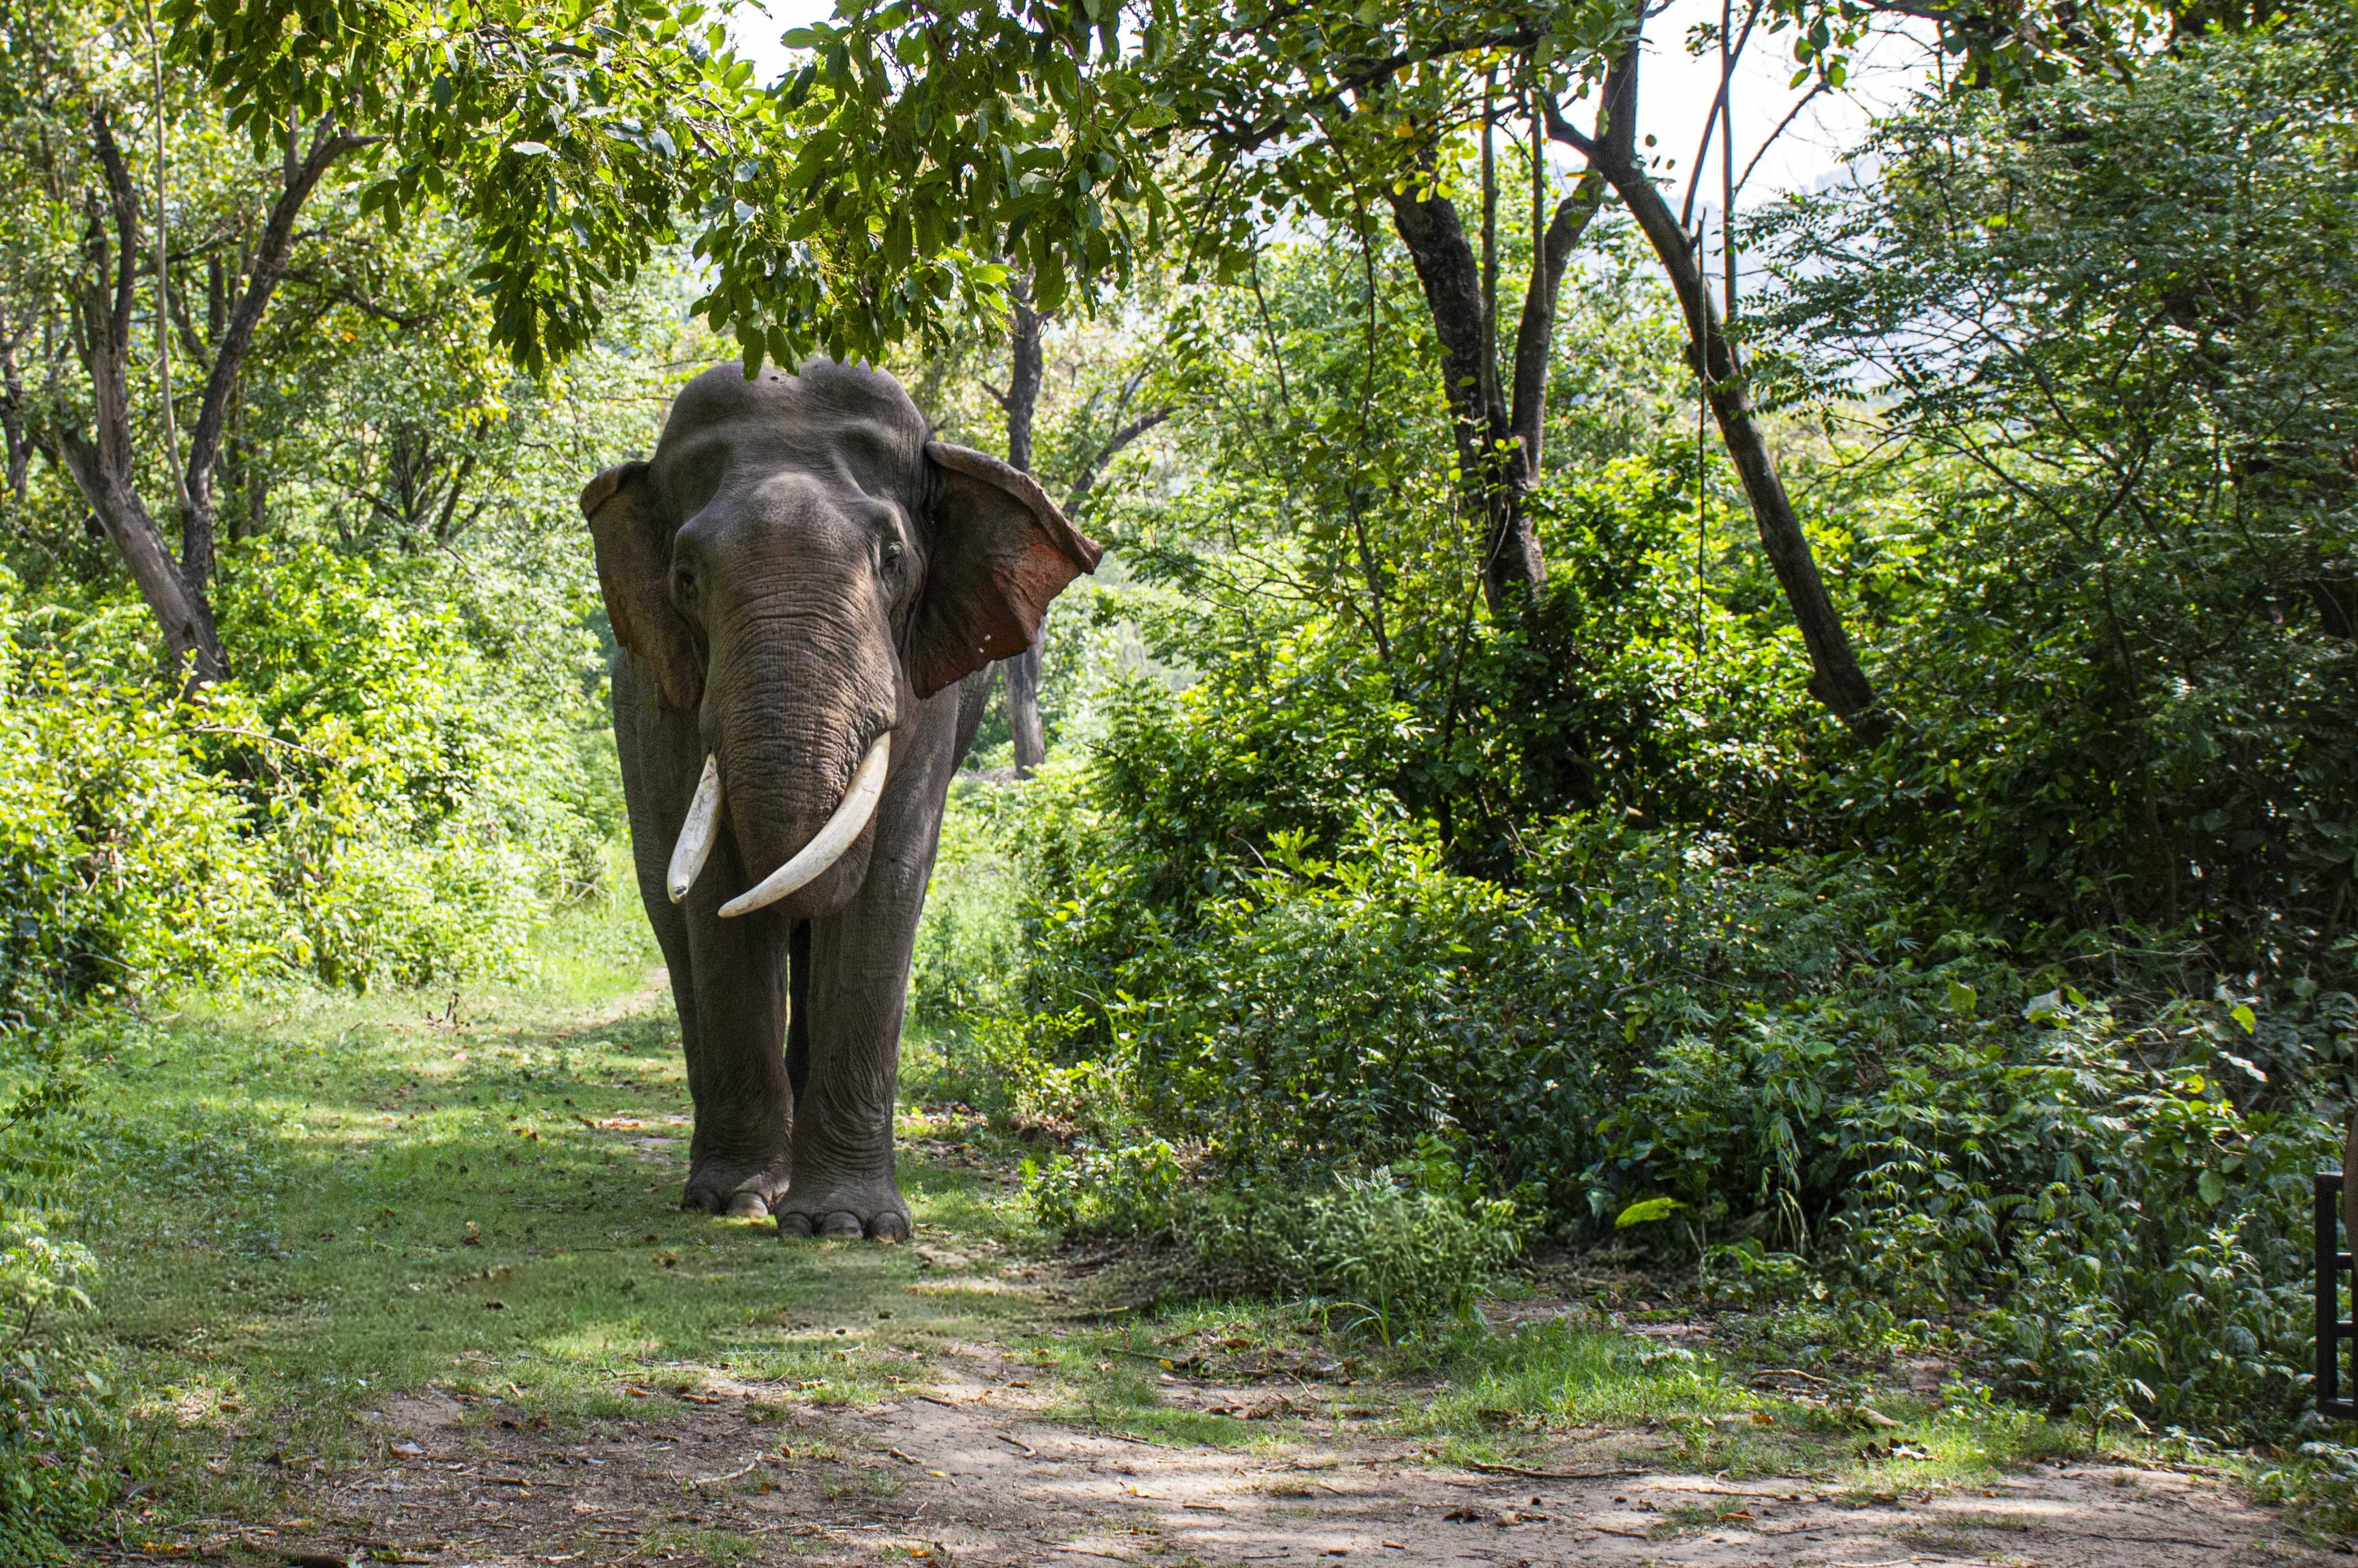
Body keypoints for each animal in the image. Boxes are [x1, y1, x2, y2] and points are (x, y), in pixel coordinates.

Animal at [578, 358, 1099, 1240]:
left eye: (892, 560)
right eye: (686, 578)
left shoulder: (927, 692)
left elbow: (886, 881)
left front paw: (850, 1226)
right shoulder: (665, 699)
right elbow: (715, 894)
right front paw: (736, 1201)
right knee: (672, 915)